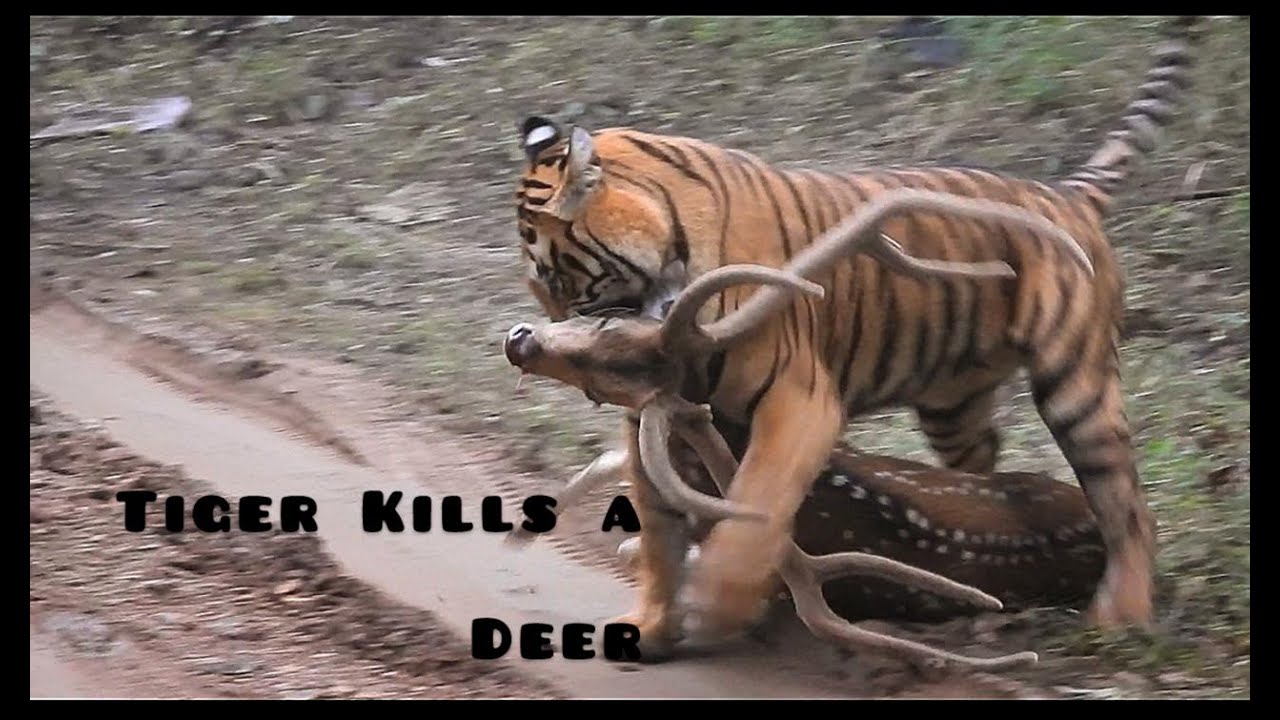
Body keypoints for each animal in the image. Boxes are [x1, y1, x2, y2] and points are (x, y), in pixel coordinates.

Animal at [512, 17, 1204, 655]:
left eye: (559, 279)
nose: (524, 336)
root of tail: (1068, 195)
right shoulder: (656, 412)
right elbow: (660, 525)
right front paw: (650, 626)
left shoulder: (798, 397)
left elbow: (758, 503)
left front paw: (716, 604)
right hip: (952, 405)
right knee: (984, 468)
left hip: (1077, 388)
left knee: (1130, 505)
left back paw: (1120, 615)